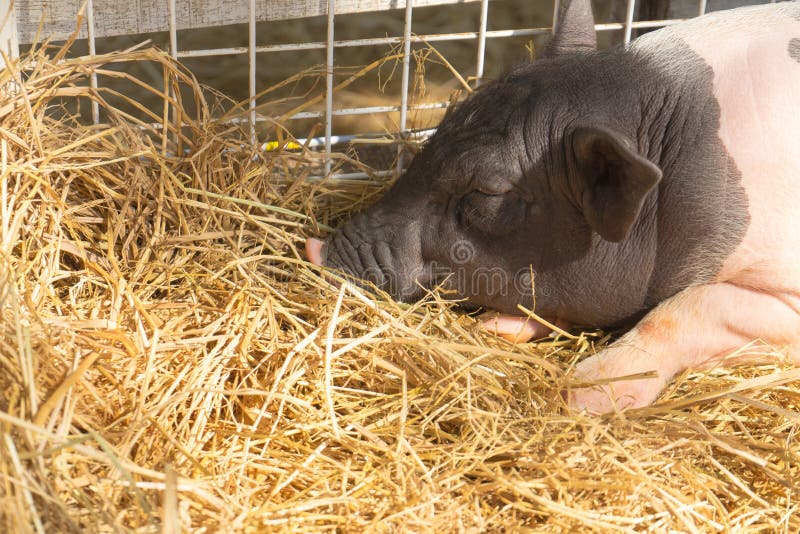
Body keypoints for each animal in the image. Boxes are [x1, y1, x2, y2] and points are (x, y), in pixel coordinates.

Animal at [306, 0, 800, 414]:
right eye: (443, 125)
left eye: (488, 192)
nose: (317, 249)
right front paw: (497, 329)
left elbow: (685, 307)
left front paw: (579, 396)